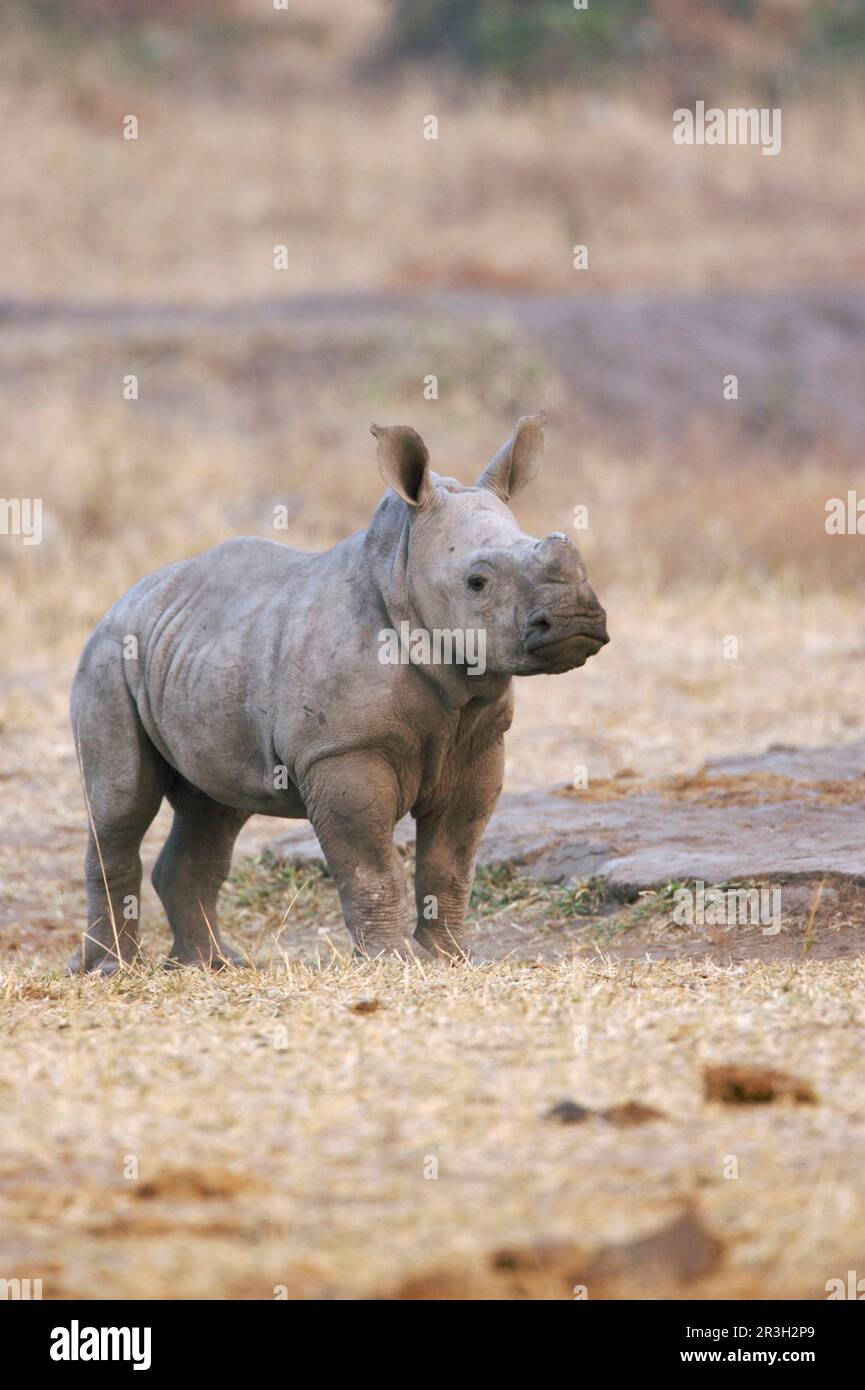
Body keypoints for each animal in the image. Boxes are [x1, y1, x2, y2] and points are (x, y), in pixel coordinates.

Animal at [69, 413, 608, 973]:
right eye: (477, 582)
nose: (576, 618)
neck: (402, 575)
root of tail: (126, 598)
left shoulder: (480, 741)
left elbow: (451, 861)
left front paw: (453, 959)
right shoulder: (343, 750)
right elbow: (371, 864)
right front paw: (396, 962)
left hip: (195, 654)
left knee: (215, 808)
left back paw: (215, 965)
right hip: (109, 655)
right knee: (121, 806)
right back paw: (111, 969)